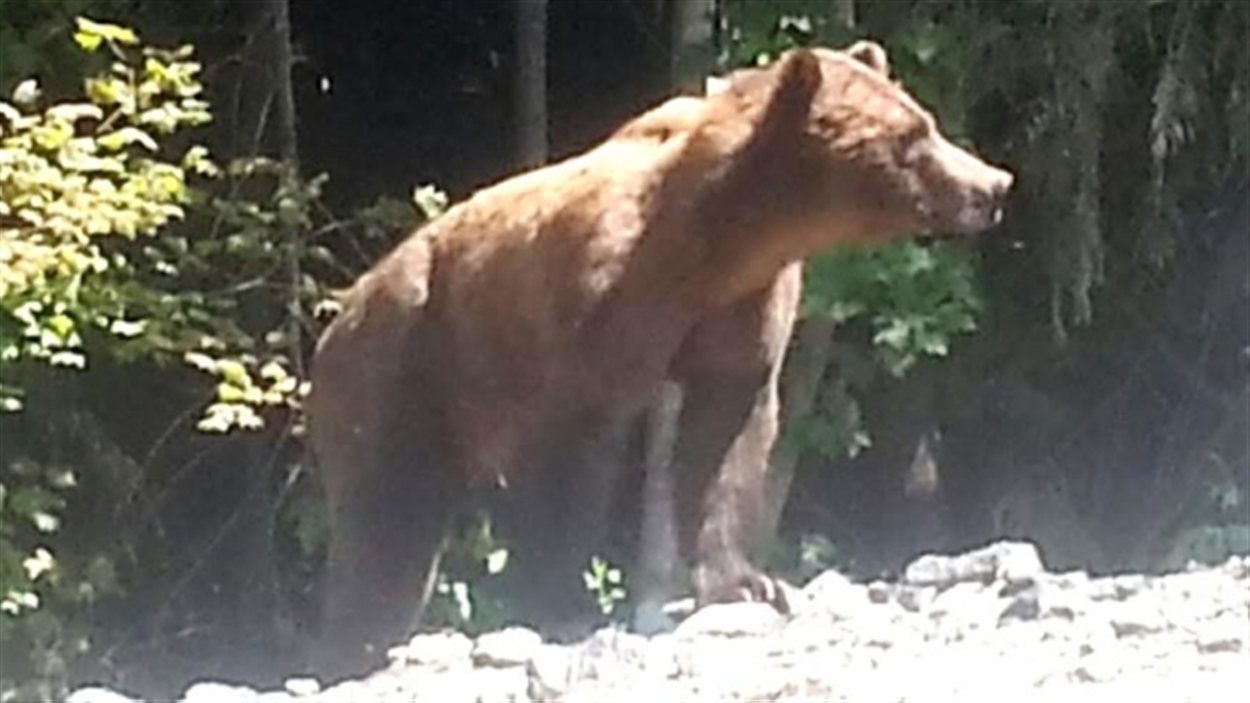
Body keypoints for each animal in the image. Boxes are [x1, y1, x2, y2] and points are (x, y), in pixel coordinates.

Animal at [306, 39, 1013, 677]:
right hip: (404, 366)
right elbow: (568, 456)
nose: (994, 185)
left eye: (925, 120)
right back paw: (354, 642)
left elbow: (726, 438)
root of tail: (338, 315)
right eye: (912, 136)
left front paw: (746, 581)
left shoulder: (744, 310)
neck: (727, 241)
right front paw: (556, 597)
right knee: (387, 521)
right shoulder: (592, 305)